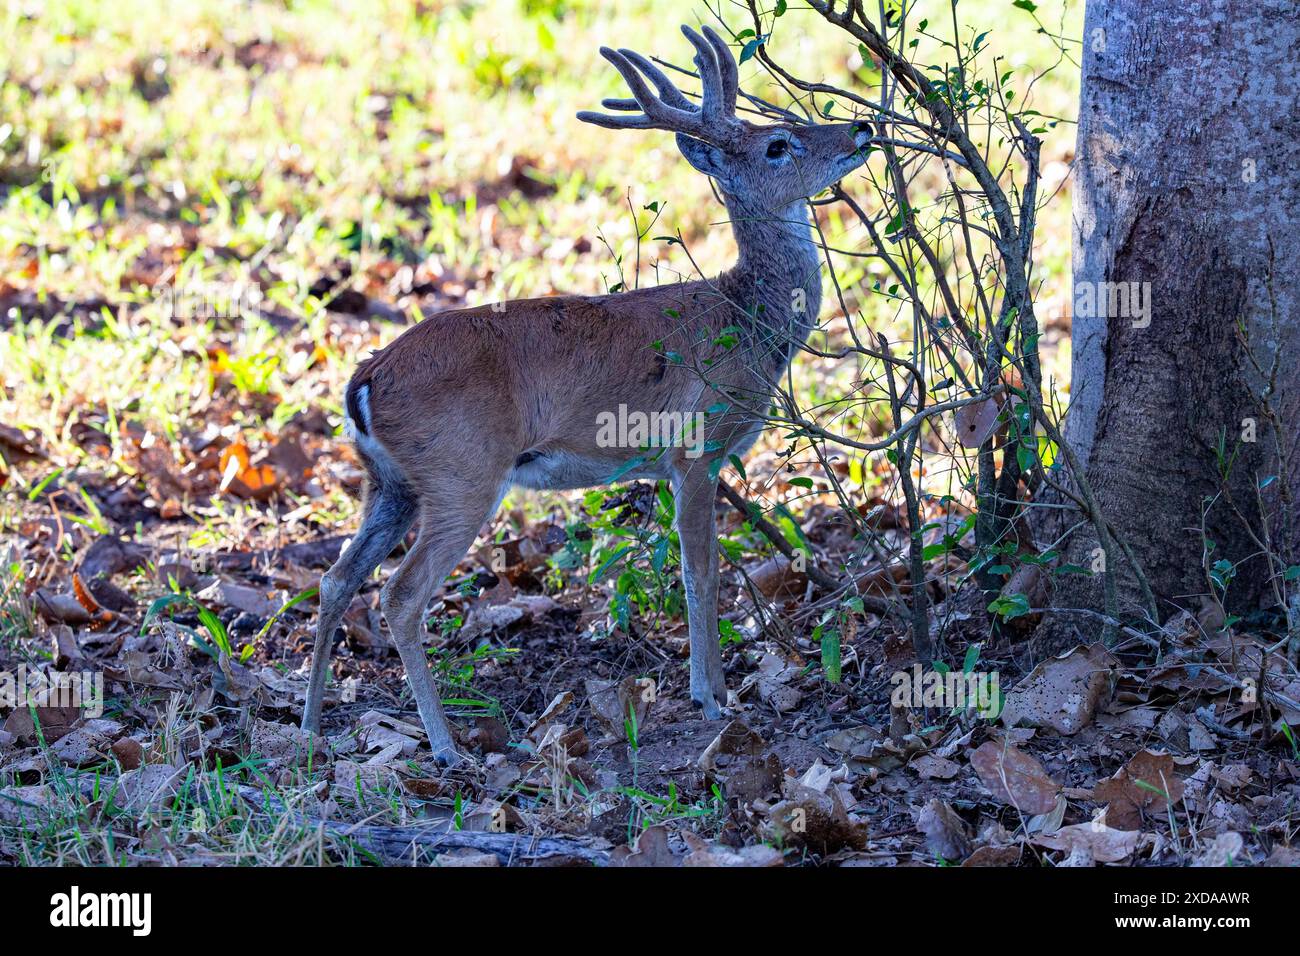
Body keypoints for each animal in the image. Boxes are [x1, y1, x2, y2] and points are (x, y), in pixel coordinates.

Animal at [302, 24, 877, 764]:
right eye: (778, 144)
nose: (862, 126)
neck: (746, 318)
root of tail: (363, 381)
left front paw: (715, 687)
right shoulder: (695, 449)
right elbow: (700, 574)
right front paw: (710, 695)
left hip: (391, 482)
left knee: (336, 577)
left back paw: (312, 724)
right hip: (462, 468)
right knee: (400, 595)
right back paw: (447, 746)